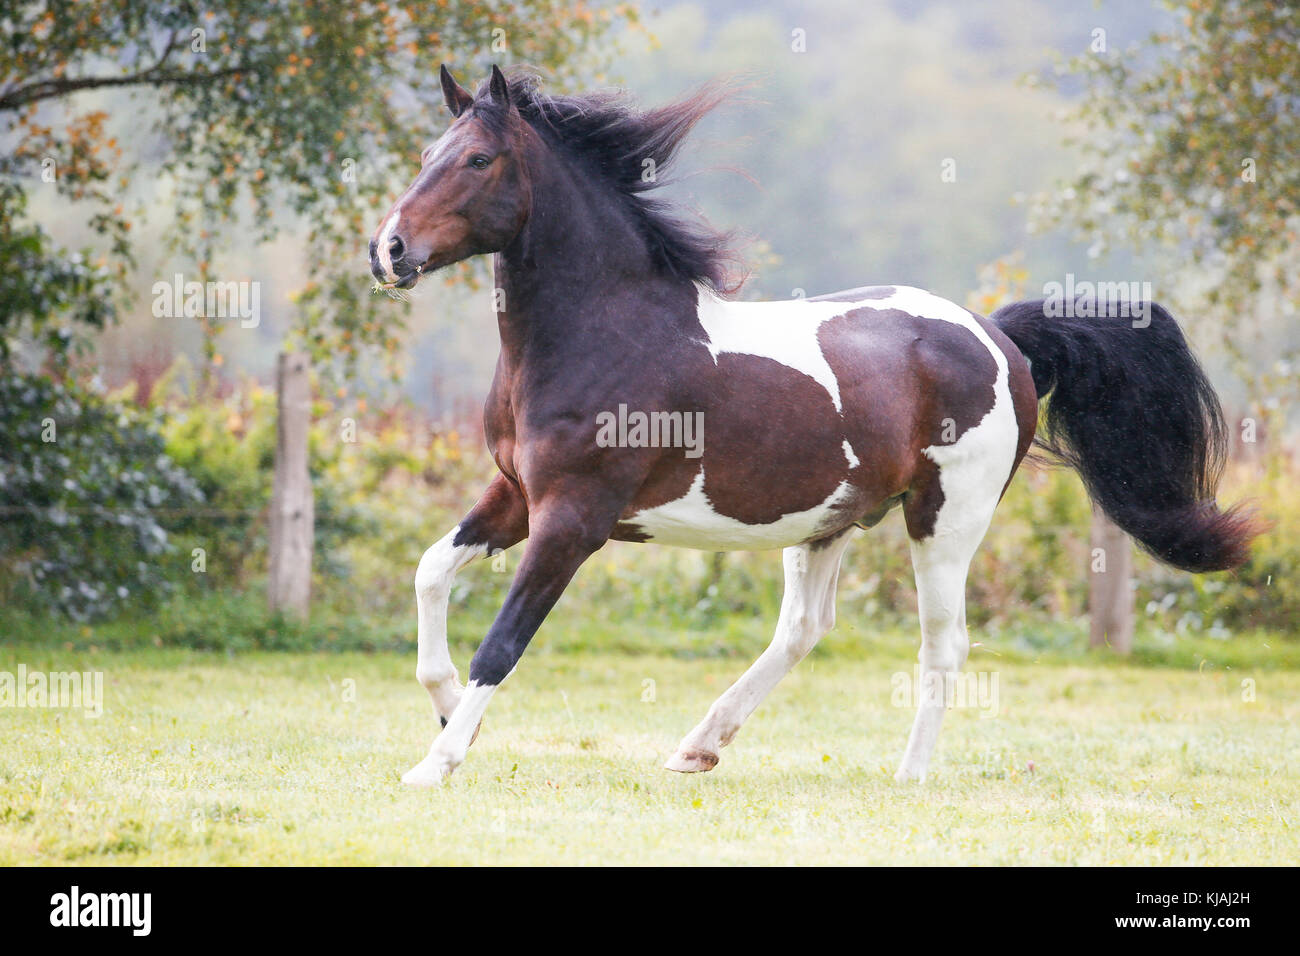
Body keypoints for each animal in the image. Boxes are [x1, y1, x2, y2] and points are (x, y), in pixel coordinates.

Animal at [368, 65, 1258, 786]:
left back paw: (908, 775)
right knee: (804, 629)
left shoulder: (574, 518)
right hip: (831, 516)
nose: (390, 251)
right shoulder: (517, 495)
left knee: (942, 645)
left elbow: (503, 641)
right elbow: (429, 572)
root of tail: (998, 336)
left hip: (945, 521)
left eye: (478, 160)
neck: (604, 332)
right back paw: (697, 747)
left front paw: (435, 763)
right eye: (429, 153)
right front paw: (442, 706)